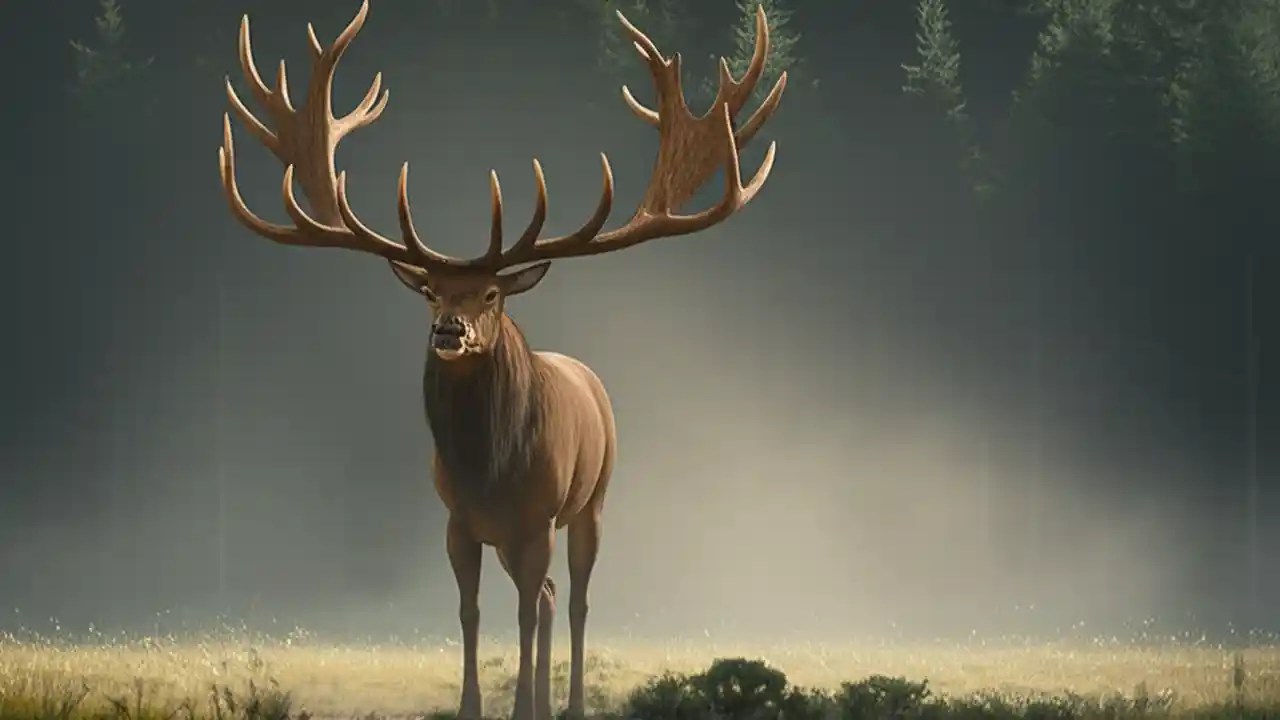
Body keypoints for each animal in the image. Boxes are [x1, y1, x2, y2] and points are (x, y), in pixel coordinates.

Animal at [216, 2, 785, 719]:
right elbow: (470, 612)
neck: (489, 468)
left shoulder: (538, 519)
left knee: (572, 598)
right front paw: (475, 706)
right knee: (544, 598)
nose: (448, 329)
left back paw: (567, 702)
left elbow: (523, 615)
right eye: (431, 291)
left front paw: (523, 707)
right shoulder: (458, 521)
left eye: (490, 292)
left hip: (592, 500)